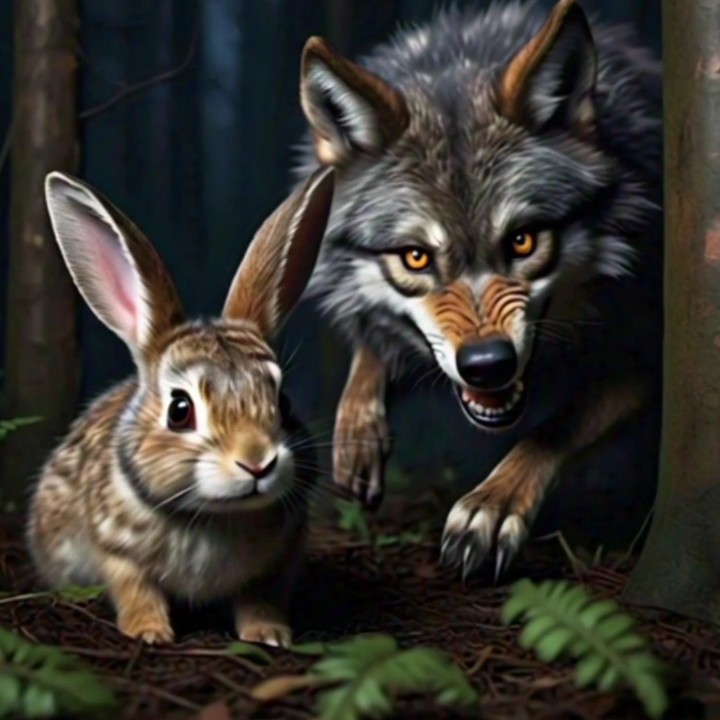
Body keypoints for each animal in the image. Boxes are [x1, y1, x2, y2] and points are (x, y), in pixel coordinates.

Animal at [26, 166, 334, 647]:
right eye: (180, 410)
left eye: (282, 402)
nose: (257, 462)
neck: (214, 517)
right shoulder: (117, 553)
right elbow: (136, 591)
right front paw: (150, 633)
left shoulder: (276, 562)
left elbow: (259, 599)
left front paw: (269, 634)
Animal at [292, 0, 663, 580]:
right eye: (415, 257)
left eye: (523, 239)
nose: (488, 365)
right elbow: (371, 350)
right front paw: (358, 433)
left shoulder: (647, 352)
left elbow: (553, 429)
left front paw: (492, 507)